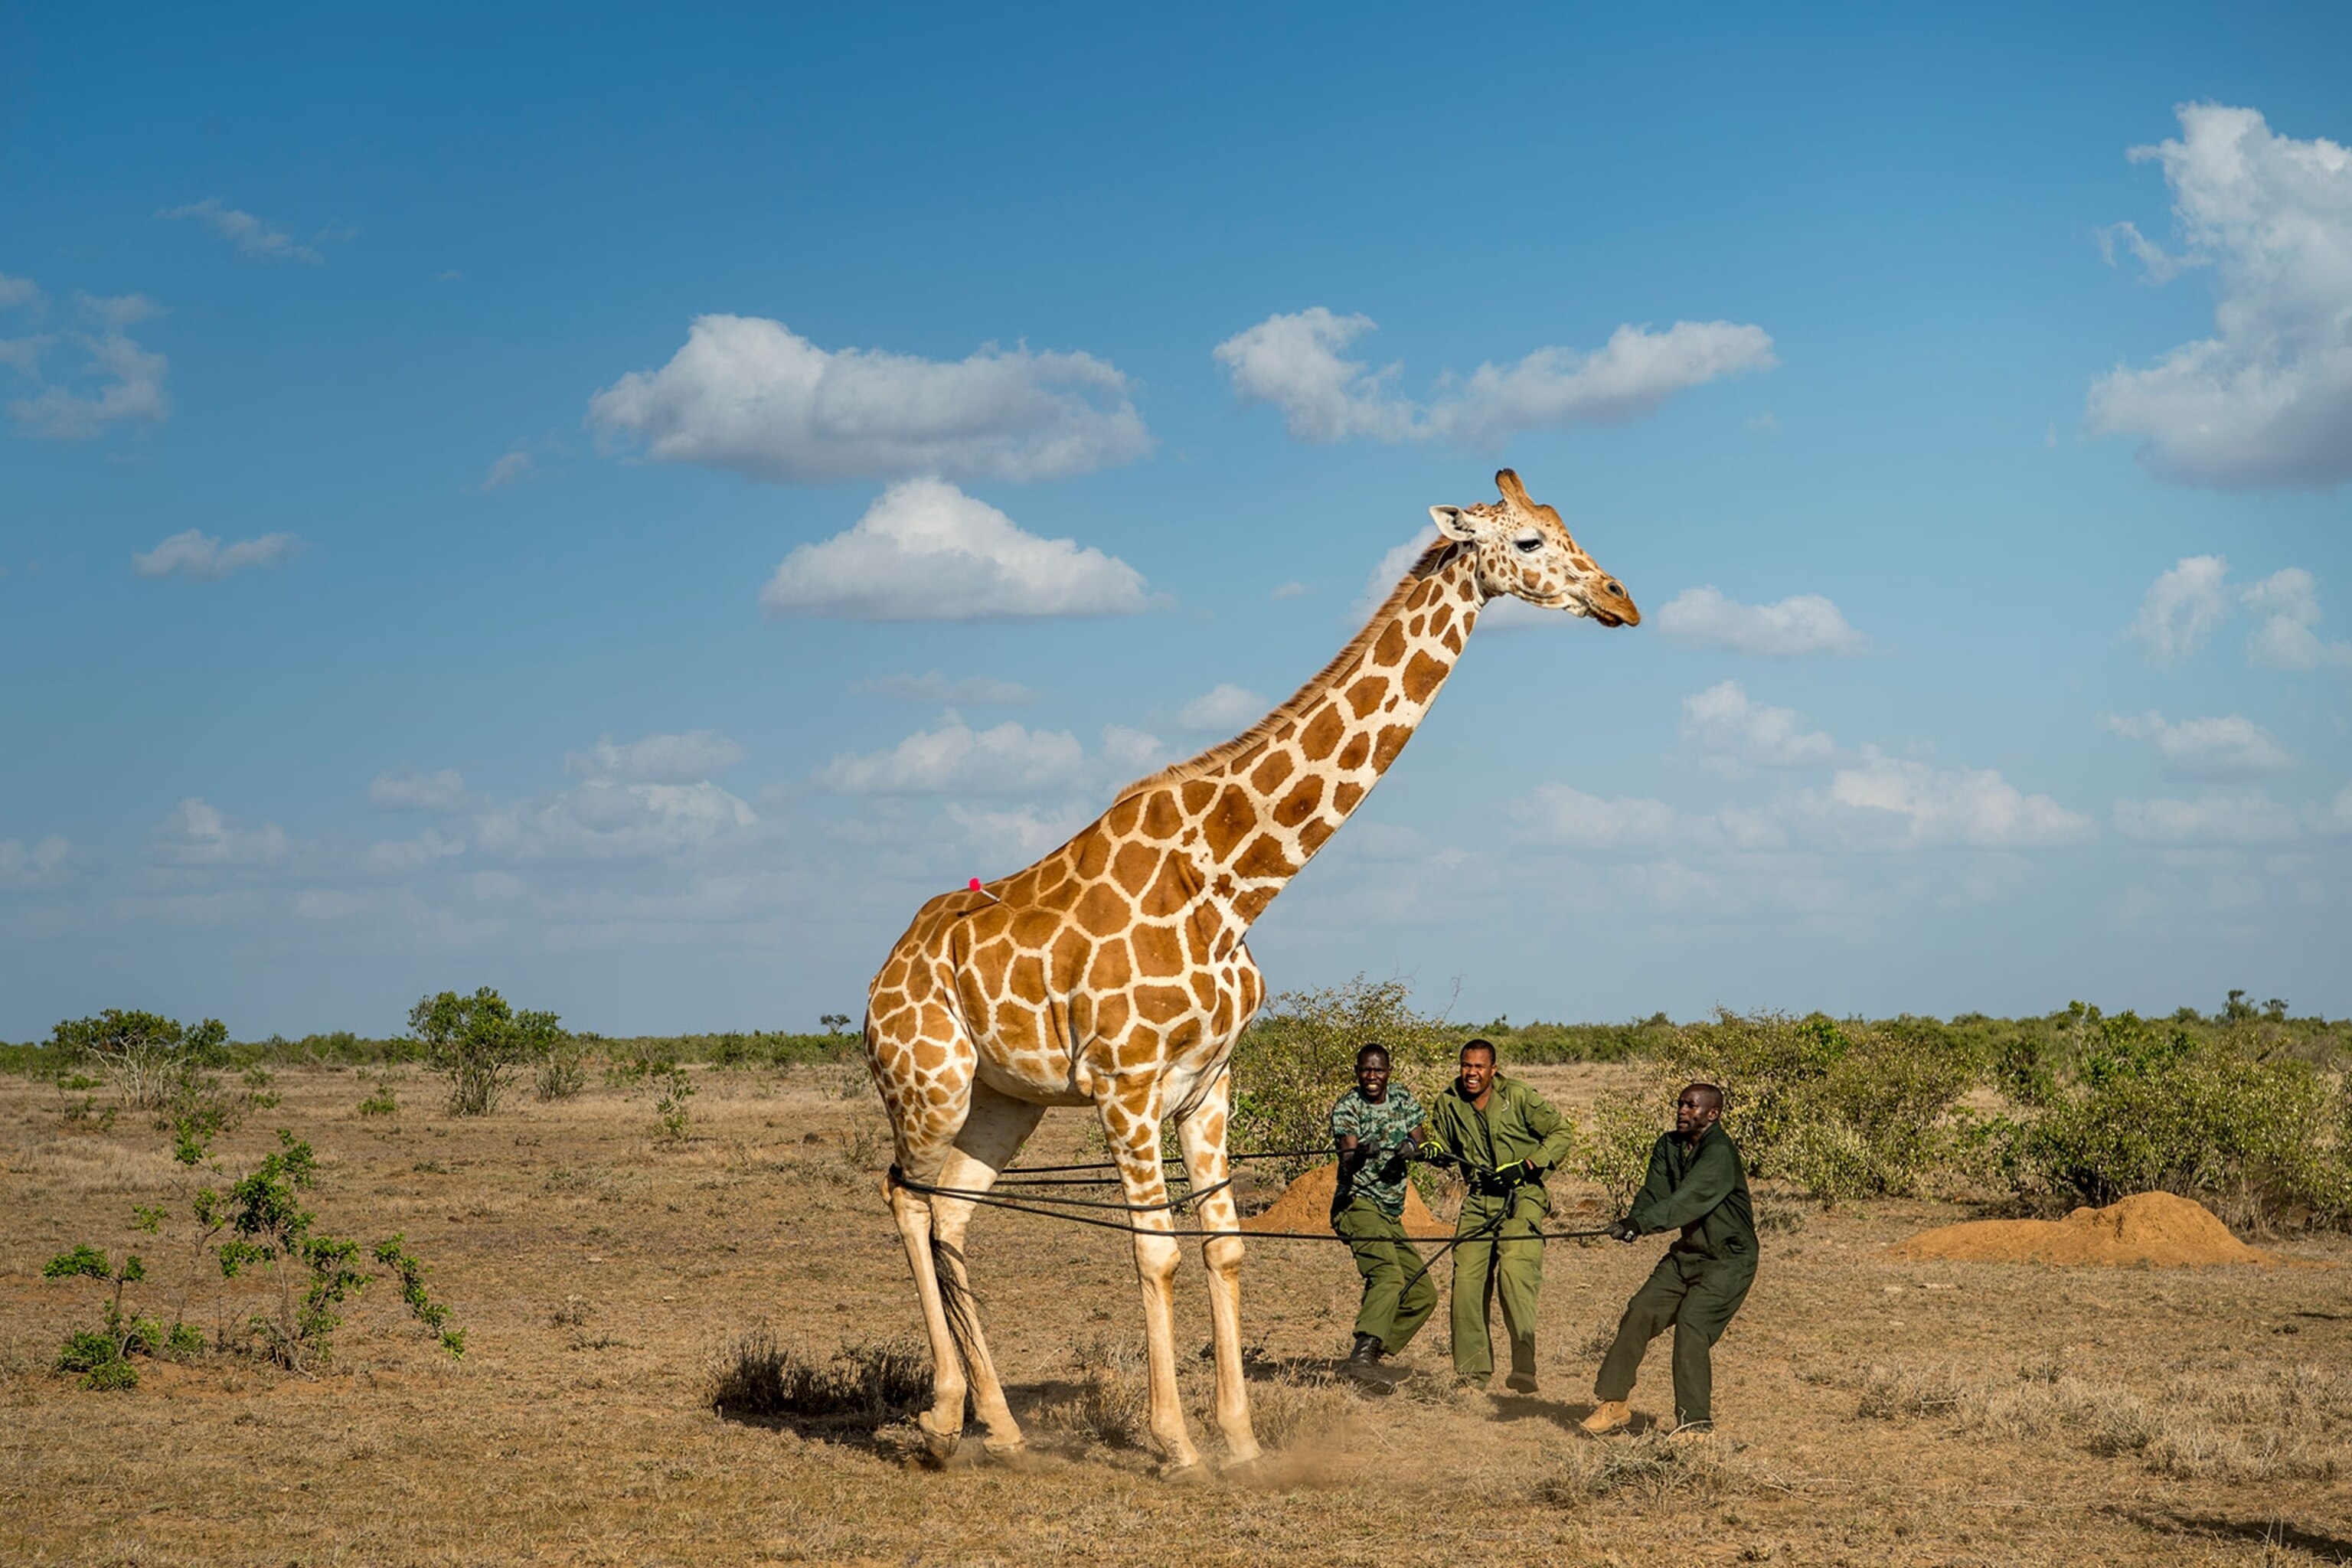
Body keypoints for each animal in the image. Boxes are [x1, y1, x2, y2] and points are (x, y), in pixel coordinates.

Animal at [862, 468, 1639, 1475]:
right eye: (1532, 541)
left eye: (1562, 522)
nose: (1621, 599)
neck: (1236, 879)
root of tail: (882, 973)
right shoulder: (1126, 1081)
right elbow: (1155, 1252)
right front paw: (1176, 1442)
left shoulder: (1207, 1081)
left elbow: (1225, 1247)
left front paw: (1238, 1436)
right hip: (927, 1081)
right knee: (906, 1197)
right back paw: (940, 1415)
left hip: (1004, 1096)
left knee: (951, 1212)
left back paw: (997, 1421)